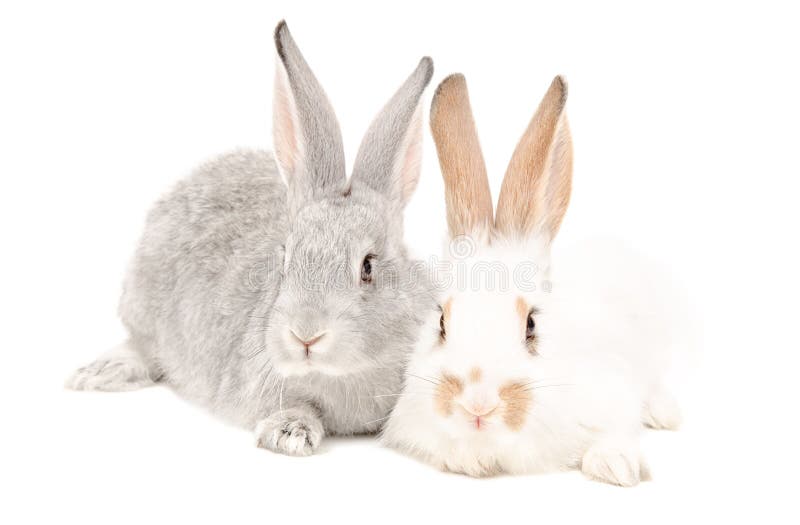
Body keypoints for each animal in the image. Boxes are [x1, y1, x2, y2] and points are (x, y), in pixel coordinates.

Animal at [66, 21, 436, 457]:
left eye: (368, 267)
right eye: (285, 260)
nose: (305, 335)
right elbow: (300, 404)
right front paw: (288, 434)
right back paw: (99, 373)